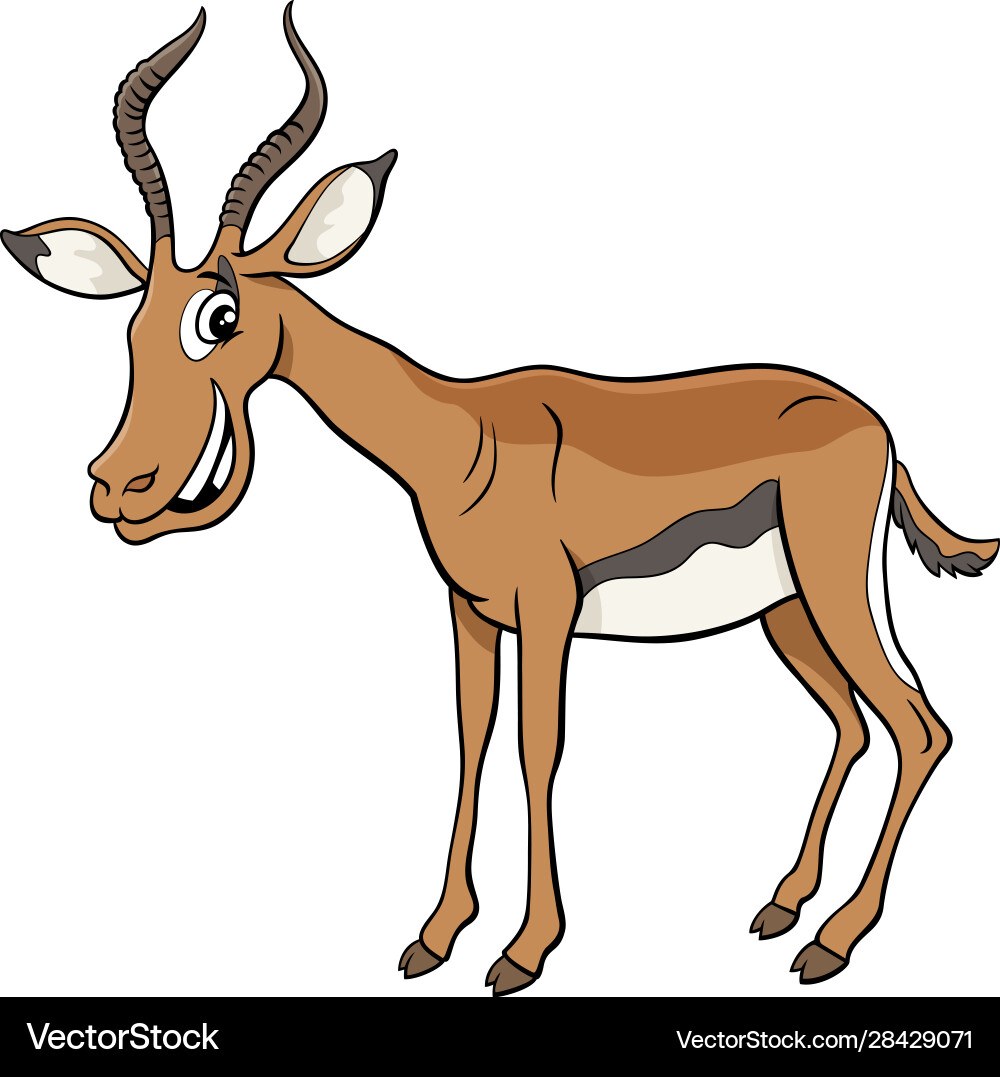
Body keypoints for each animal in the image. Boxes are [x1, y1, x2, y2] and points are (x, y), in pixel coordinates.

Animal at [4, 5, 996, 996]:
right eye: (134, 322)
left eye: (220, 318)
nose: (116, 484)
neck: (462, 437)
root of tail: (876, 425)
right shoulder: (471, 610)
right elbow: (470, 737)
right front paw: (436, 933)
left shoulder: (548, 612)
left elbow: (536, 747)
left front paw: (524, 949)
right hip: (787, 613)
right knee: (853, 725)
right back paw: (783, 906)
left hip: (834, 592)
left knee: (919, 726)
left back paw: (832, 941)